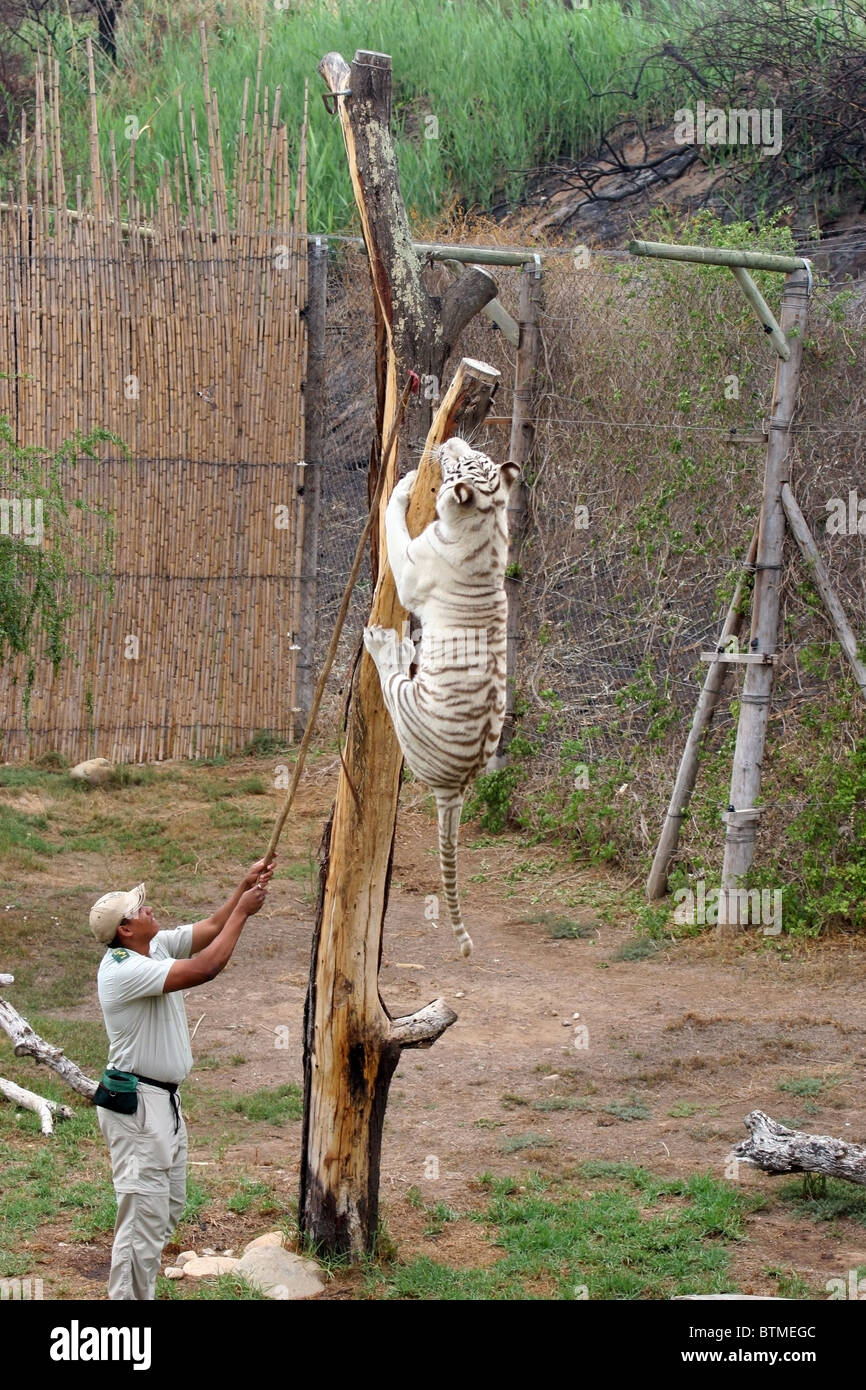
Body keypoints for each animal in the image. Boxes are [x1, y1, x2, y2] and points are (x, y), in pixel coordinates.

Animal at [363, 437, 520, 958]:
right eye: (476, 454)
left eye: (458, 462)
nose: (448, 441)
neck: (490, 517)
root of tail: (457, 788)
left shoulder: (412, 566)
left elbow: (394, 528)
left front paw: (404, 485)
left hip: (407, 703)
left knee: (391, 678)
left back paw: (387, 644)